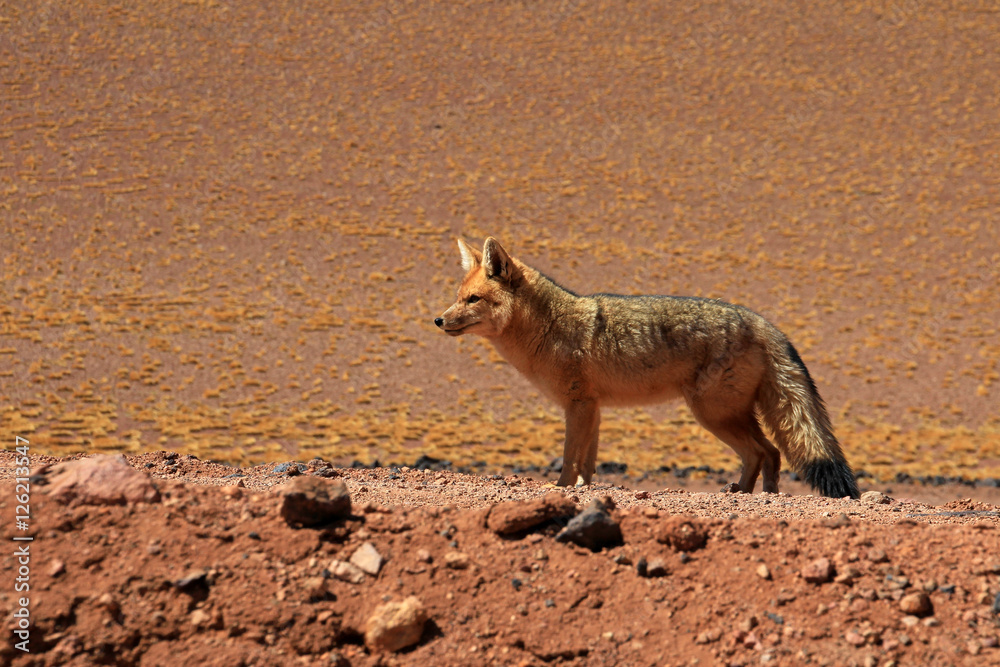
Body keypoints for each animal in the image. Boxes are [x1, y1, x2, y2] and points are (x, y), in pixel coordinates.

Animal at [434, 237, 860, 499]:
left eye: (473, 299)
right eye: (458, 297)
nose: (438, 320)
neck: (550, 325)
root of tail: (762, 321)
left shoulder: (579, 406)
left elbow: (570, 458)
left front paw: (560, 489)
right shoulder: (594, 408)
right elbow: (588, 463)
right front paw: (585, 490)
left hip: (713, 414)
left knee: (766, 452)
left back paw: (761, 496)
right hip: (725, 415)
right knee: (766, 454)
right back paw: (751, 494)